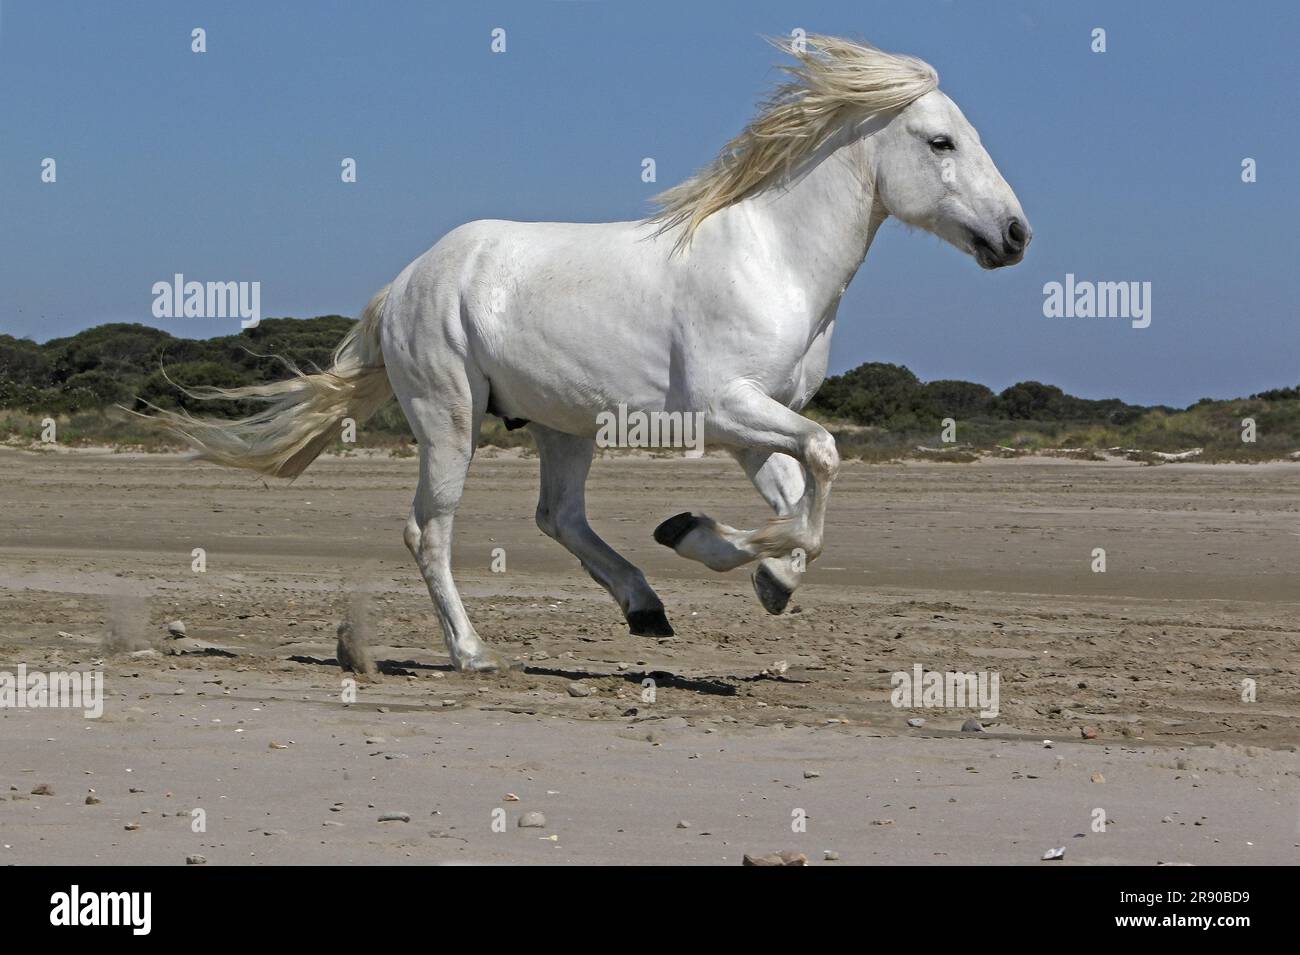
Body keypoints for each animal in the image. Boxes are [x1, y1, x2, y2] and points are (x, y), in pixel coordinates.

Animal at [144, 36, 1031, 672]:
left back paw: (645, 607)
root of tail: (406, 280)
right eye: (941, 142)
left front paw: (756, 571)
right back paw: (473, 652)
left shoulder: (756, 422)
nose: (1017, 235)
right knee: (428, 530)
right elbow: (821, 463)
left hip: (559, 424)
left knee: (558, 515)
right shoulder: (727, 409)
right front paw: (703, 538)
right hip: (448, 418)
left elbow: (797, 499)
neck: (775, 258)